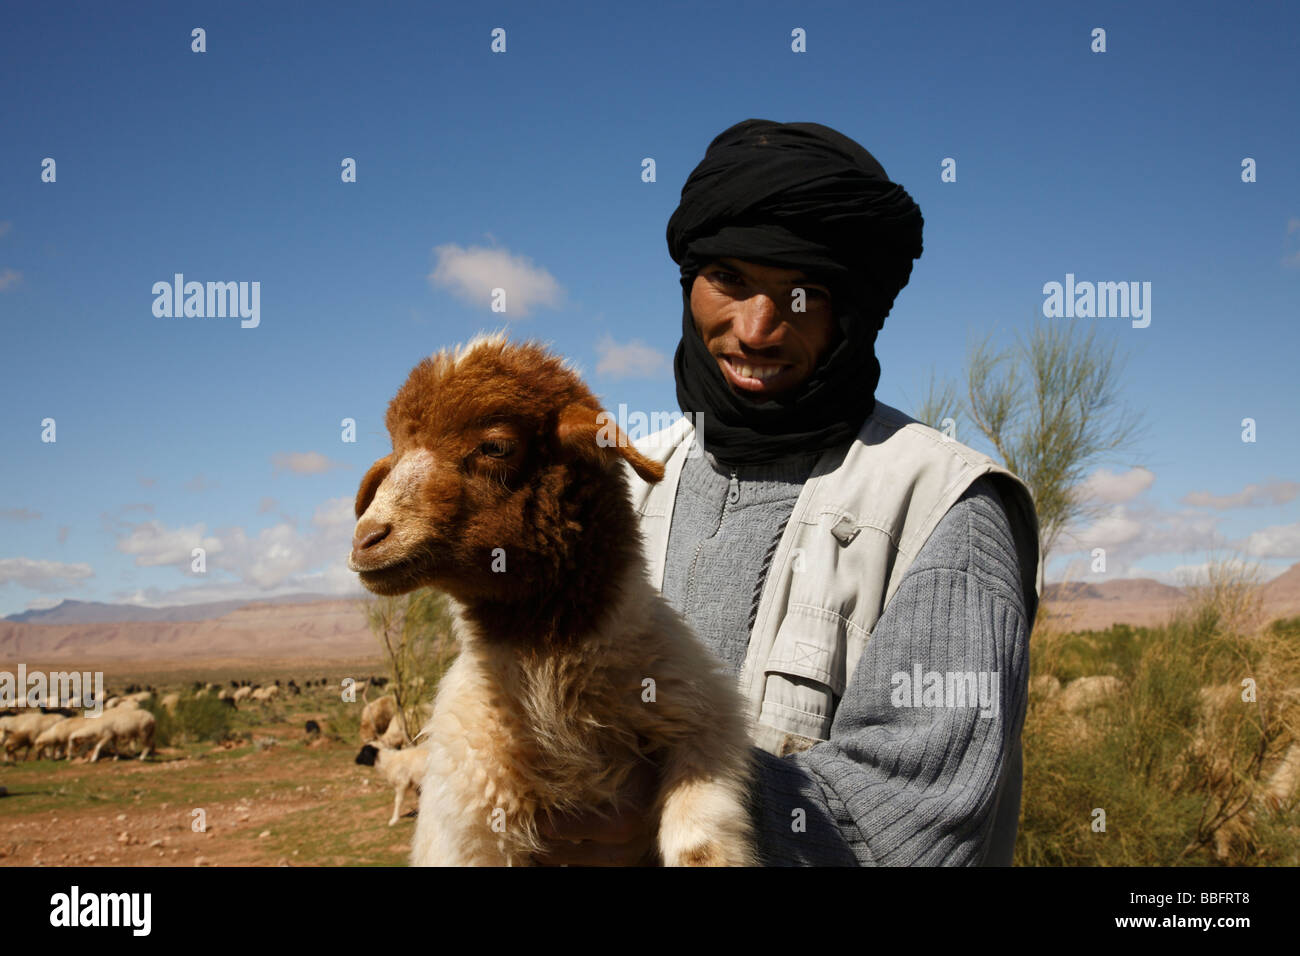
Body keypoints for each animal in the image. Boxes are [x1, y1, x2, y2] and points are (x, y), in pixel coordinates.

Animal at [348, 334, 755, 866]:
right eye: (395, 453)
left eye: (496, 446)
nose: (366, 539)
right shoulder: (472, 828)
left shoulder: (702, 719)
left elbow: (701, 841)